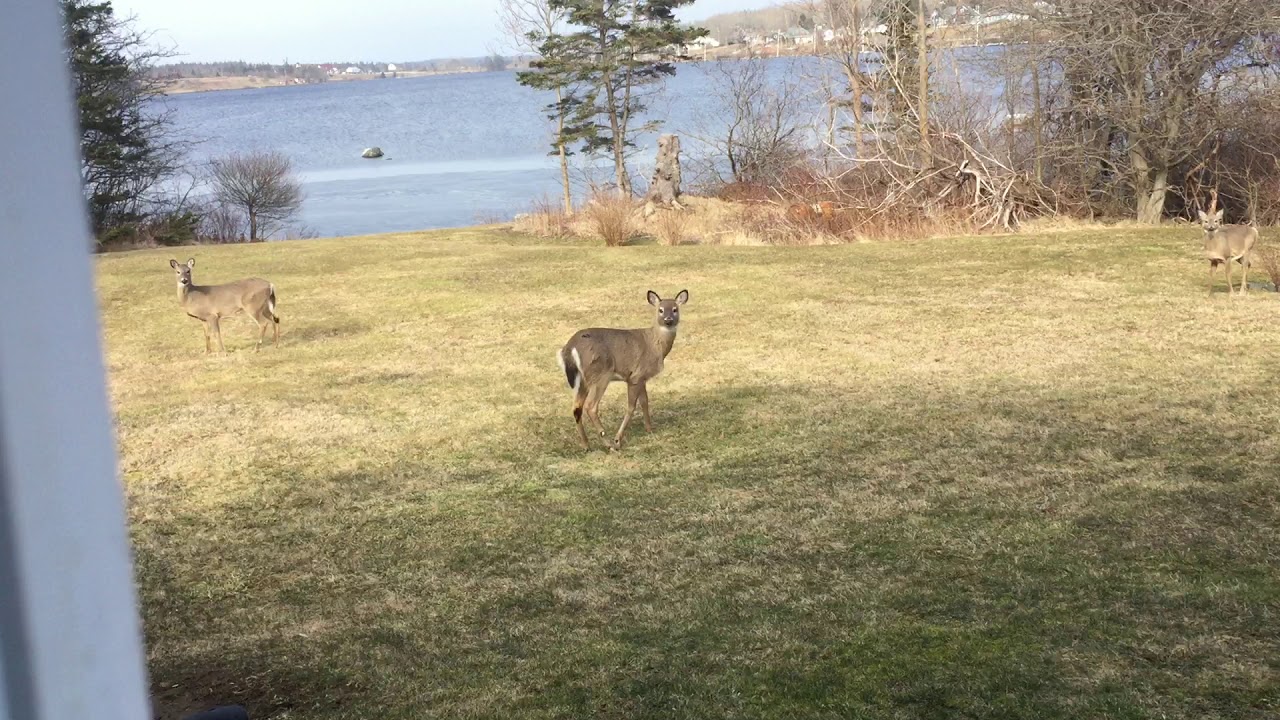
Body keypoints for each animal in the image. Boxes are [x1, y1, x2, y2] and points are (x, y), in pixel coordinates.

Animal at [556, 290, 689, 451]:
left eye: (675, 309)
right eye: (661, 310)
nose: (668, 320)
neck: (655, 345)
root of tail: (569, 347)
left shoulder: (642, 377)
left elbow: (645, 402)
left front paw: (649, 429)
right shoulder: (635, 376)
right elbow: (631, 407)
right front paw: (618, 439)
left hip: (583, 379)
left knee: (576, 407)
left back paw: (586, 445)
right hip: (600, 374)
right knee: (590, 406)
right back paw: (608, 443)